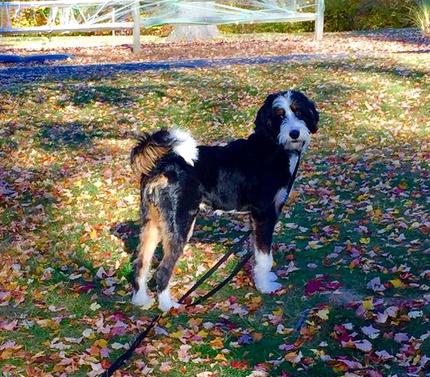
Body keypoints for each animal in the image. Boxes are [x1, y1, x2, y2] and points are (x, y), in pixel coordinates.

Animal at [129, 89, 318, 310]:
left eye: (299, 111)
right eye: (279, 115)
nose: (294, 133)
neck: (272, 146)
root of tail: (163, 164)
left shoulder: (254, 218)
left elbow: (256, 254)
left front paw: (261, 280)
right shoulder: (264, 215)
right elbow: (265, 258)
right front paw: (265, 286)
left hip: (152, 224)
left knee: (141, 264)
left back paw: (141, 300)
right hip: (181, 225)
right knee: (162, 271)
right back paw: (169, 306)